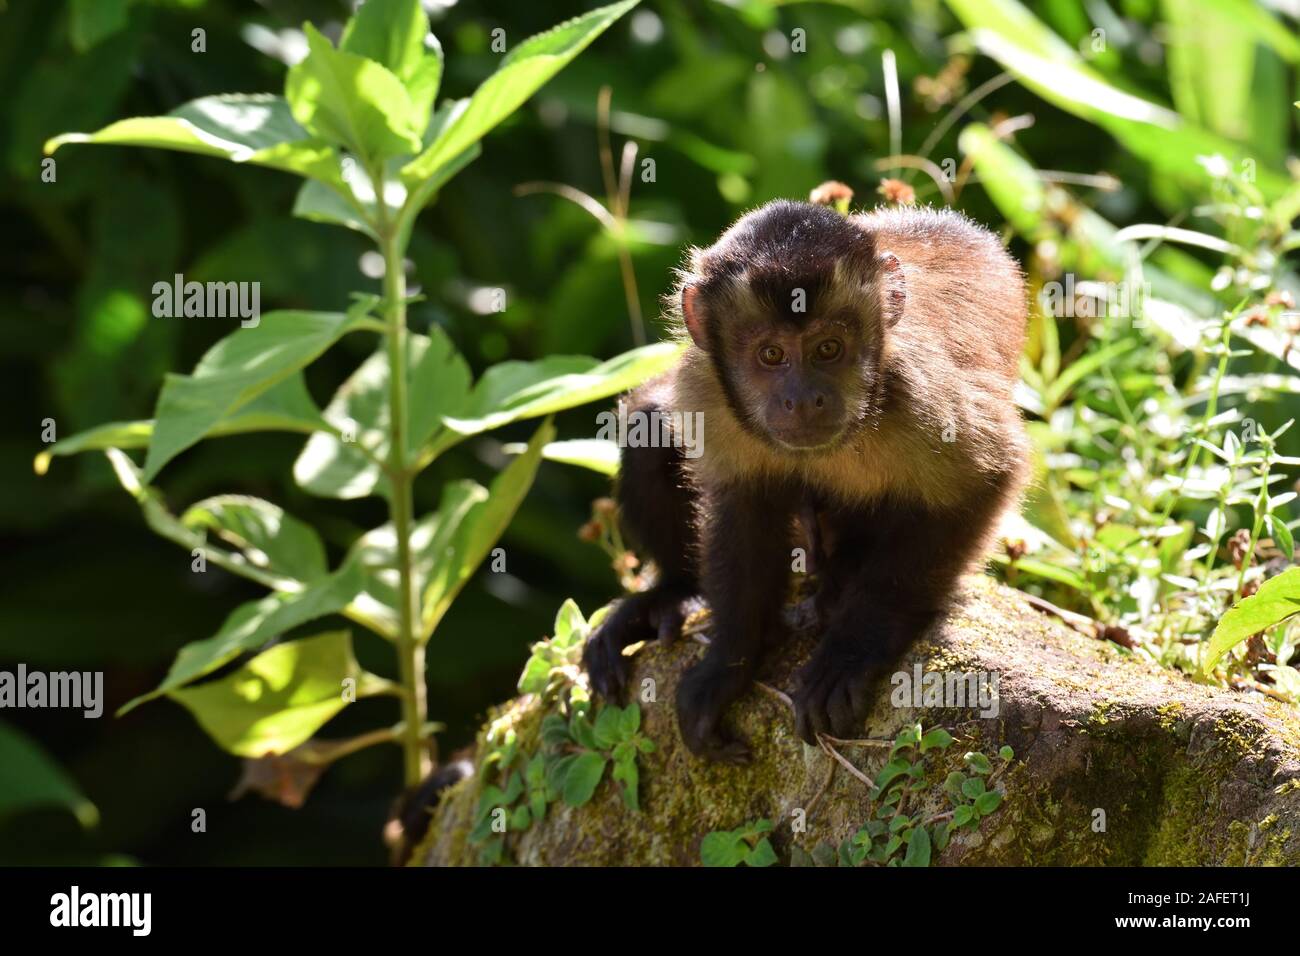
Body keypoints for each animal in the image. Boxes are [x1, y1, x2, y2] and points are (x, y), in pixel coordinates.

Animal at [582, 197, 1029, 763]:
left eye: (829, 349)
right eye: (772, 355)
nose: (803, 399)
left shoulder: (917, 386)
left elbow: (985, 478)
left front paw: (855, 646)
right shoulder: (706, 387)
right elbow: (740, 506)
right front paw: (728, 661)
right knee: (650, 422)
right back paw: (675, 594)